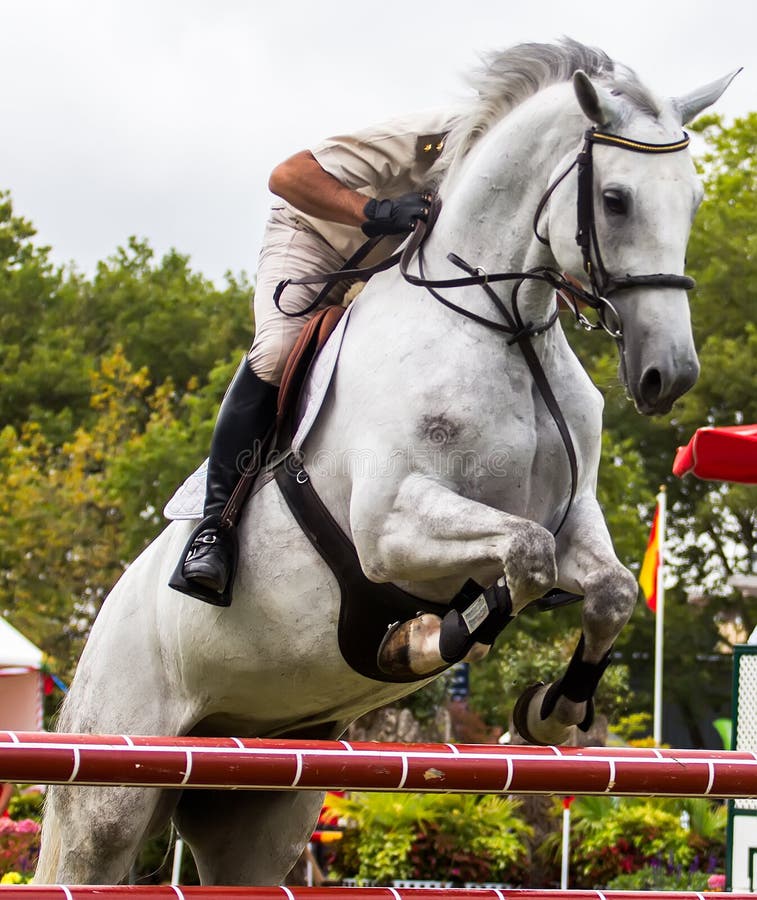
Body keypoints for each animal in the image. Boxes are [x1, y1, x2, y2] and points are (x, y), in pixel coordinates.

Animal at [36, 40, 736, 886]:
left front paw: (553, 710)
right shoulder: (390, 527)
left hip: (258, 796)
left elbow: (604, 589)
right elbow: (522, 557)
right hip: (109, 789)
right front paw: (423, 640)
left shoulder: (573, 520)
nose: (670, 375)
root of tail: (98, 628)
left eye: (693, 200)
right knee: (87, 849)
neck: (502, 327)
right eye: (614, 198)